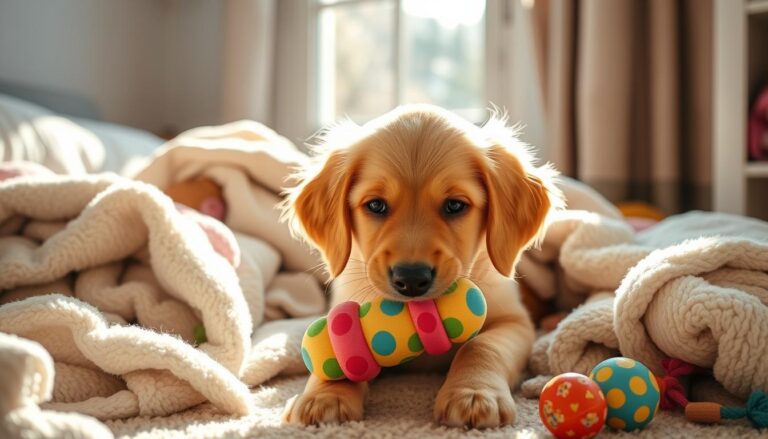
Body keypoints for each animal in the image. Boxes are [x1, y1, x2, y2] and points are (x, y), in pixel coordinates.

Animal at [280, 105, 560, 430]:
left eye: (455, 205)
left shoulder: (515, 322)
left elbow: (481, 346)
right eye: (375, 205)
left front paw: (474, 394)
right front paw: (326, 395)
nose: (411, 279)